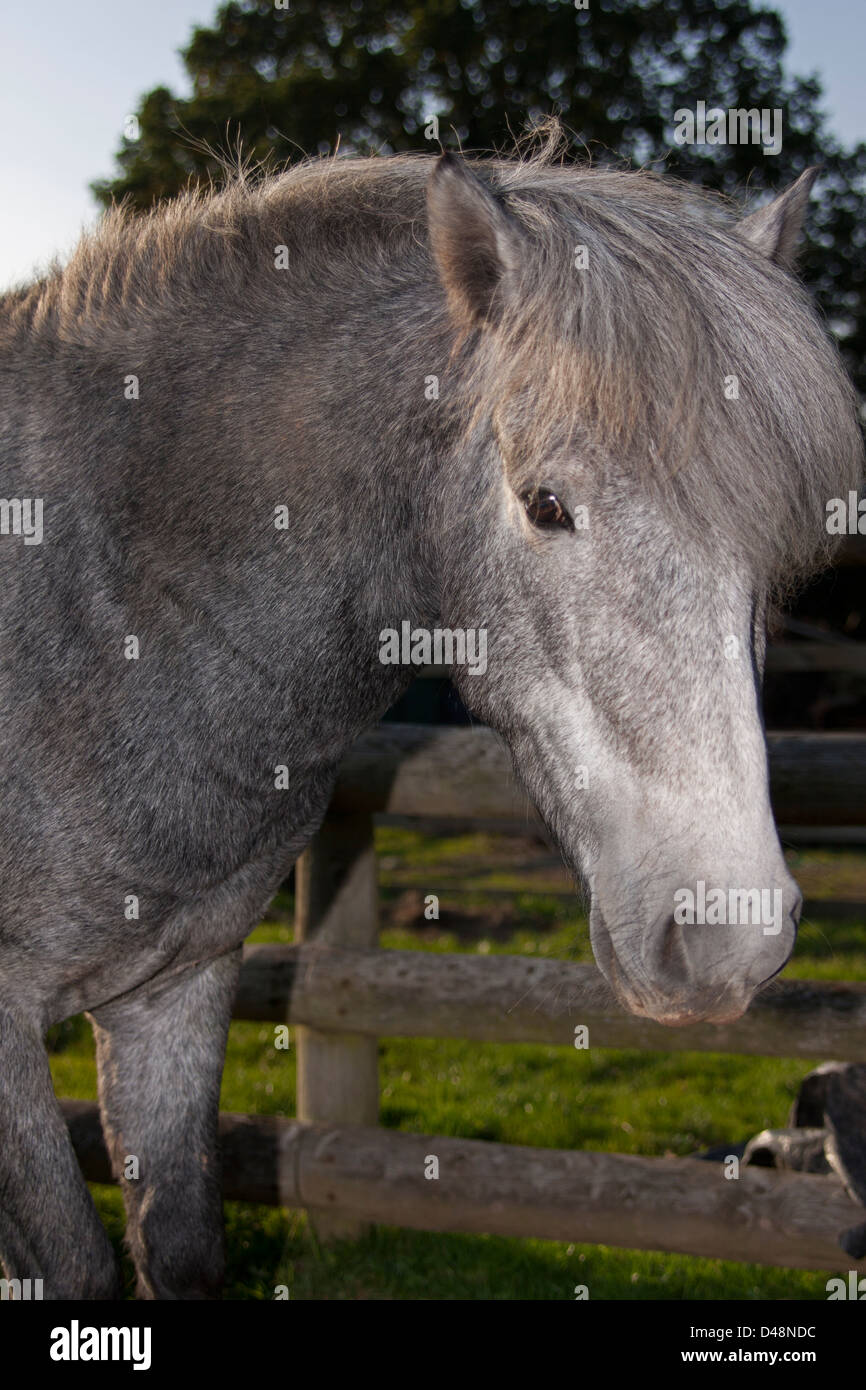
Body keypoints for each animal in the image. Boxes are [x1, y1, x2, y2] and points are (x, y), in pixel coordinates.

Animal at [0, 132, 861, 1299]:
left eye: (771, 551)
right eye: (545, 505)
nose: (729, 937)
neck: (99, 610)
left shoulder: (172, 995)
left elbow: (178, 1250)